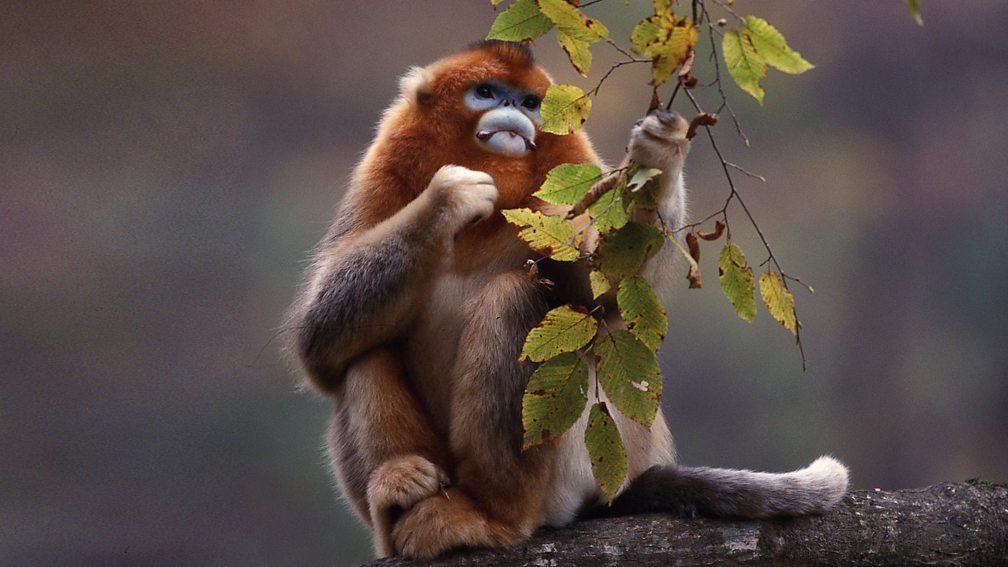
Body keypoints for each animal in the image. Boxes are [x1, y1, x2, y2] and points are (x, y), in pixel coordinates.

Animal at [287, 41, 849, 559]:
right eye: (486, 91)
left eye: (530, 102)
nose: (512, 109)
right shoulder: (382, 170)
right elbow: (315, 340)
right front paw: (448, 199)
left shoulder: (572, 173)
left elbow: (619, 295)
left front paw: (659, 154)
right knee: (362, 354)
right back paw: (398, 494)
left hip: (578, 471)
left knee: (516, 297)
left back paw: (492, 518)